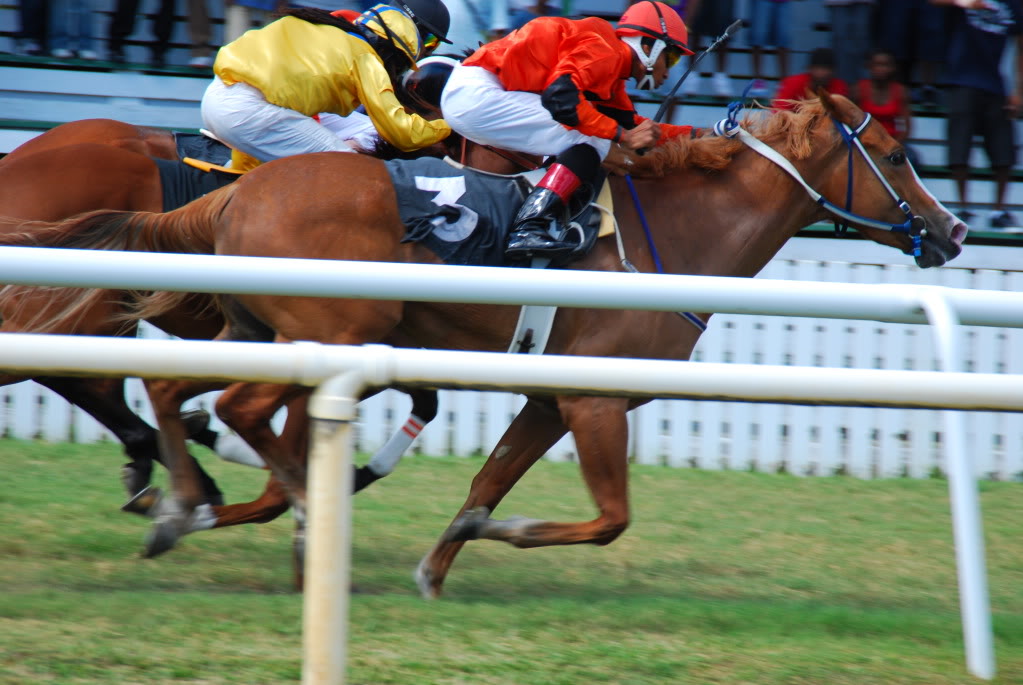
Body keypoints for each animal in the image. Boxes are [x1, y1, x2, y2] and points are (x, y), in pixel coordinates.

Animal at [0, 93, 966, 596]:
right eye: (892, 152)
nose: (953, 229)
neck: (672, 241)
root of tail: (236, 191)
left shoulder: (547, 397)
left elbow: (486, 481)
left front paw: (438, 562)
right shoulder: (593, 398)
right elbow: (609, 517)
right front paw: (488, 533)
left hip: (257, 324)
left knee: (171, 393)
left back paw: (184, 501)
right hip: (328, 326)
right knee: (229, 408)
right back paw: (265, 508)